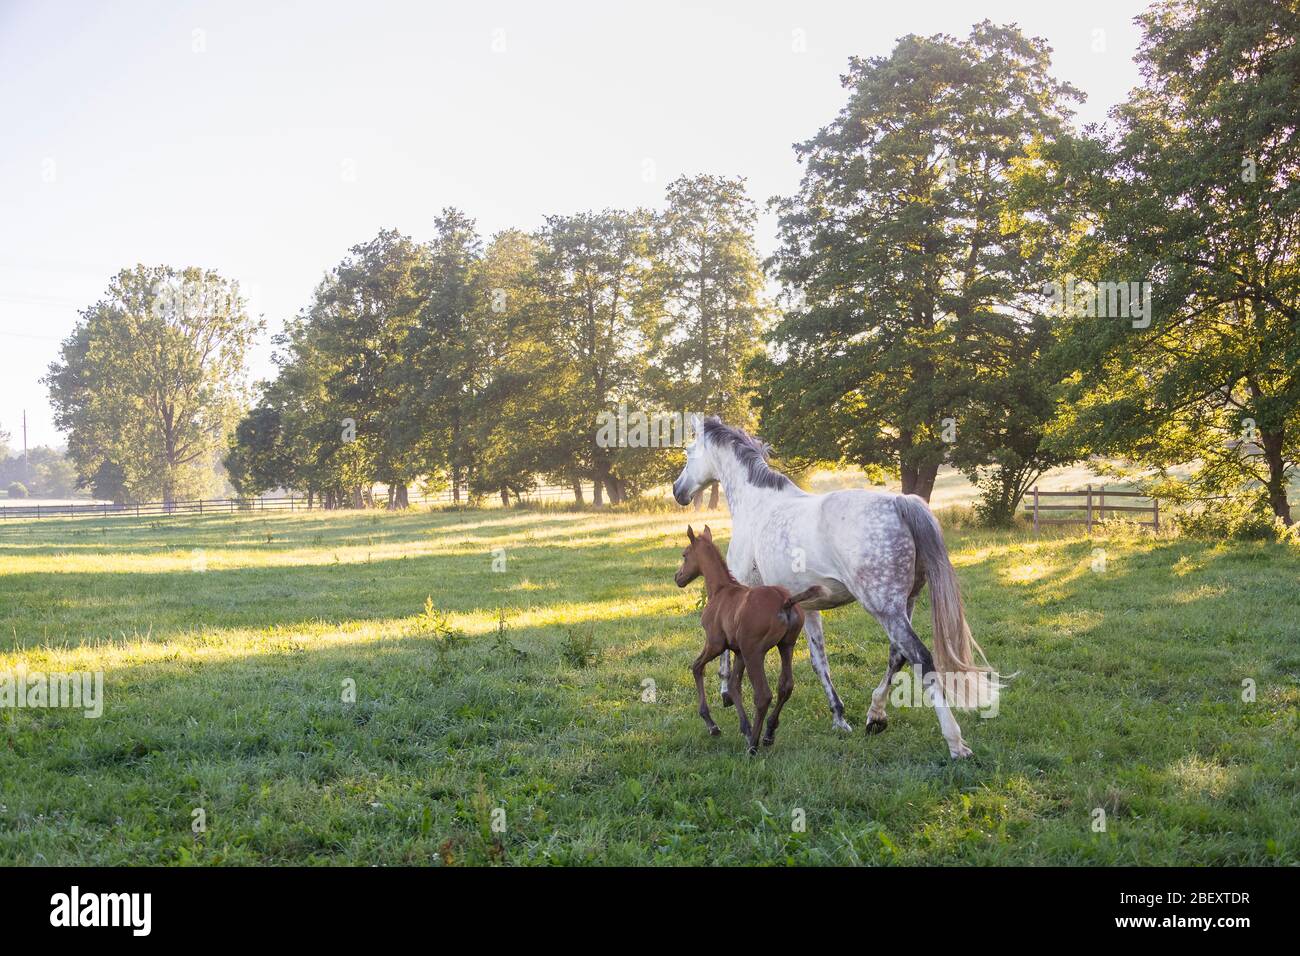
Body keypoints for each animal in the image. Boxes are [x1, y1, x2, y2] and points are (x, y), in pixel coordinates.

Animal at [674, 524, 825, 754]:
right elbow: (733, 685)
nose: (678, 577)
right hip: (786, 646)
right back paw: (768, 734)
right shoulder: (738, 651)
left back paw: (753, 745)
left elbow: (697, 667)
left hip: (754, 652)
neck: (720, 590)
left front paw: (712, 725)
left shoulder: (716, 644)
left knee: (763, 695)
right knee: (785, 686)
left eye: (684, 555)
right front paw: (745, 728)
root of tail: (785, 601)